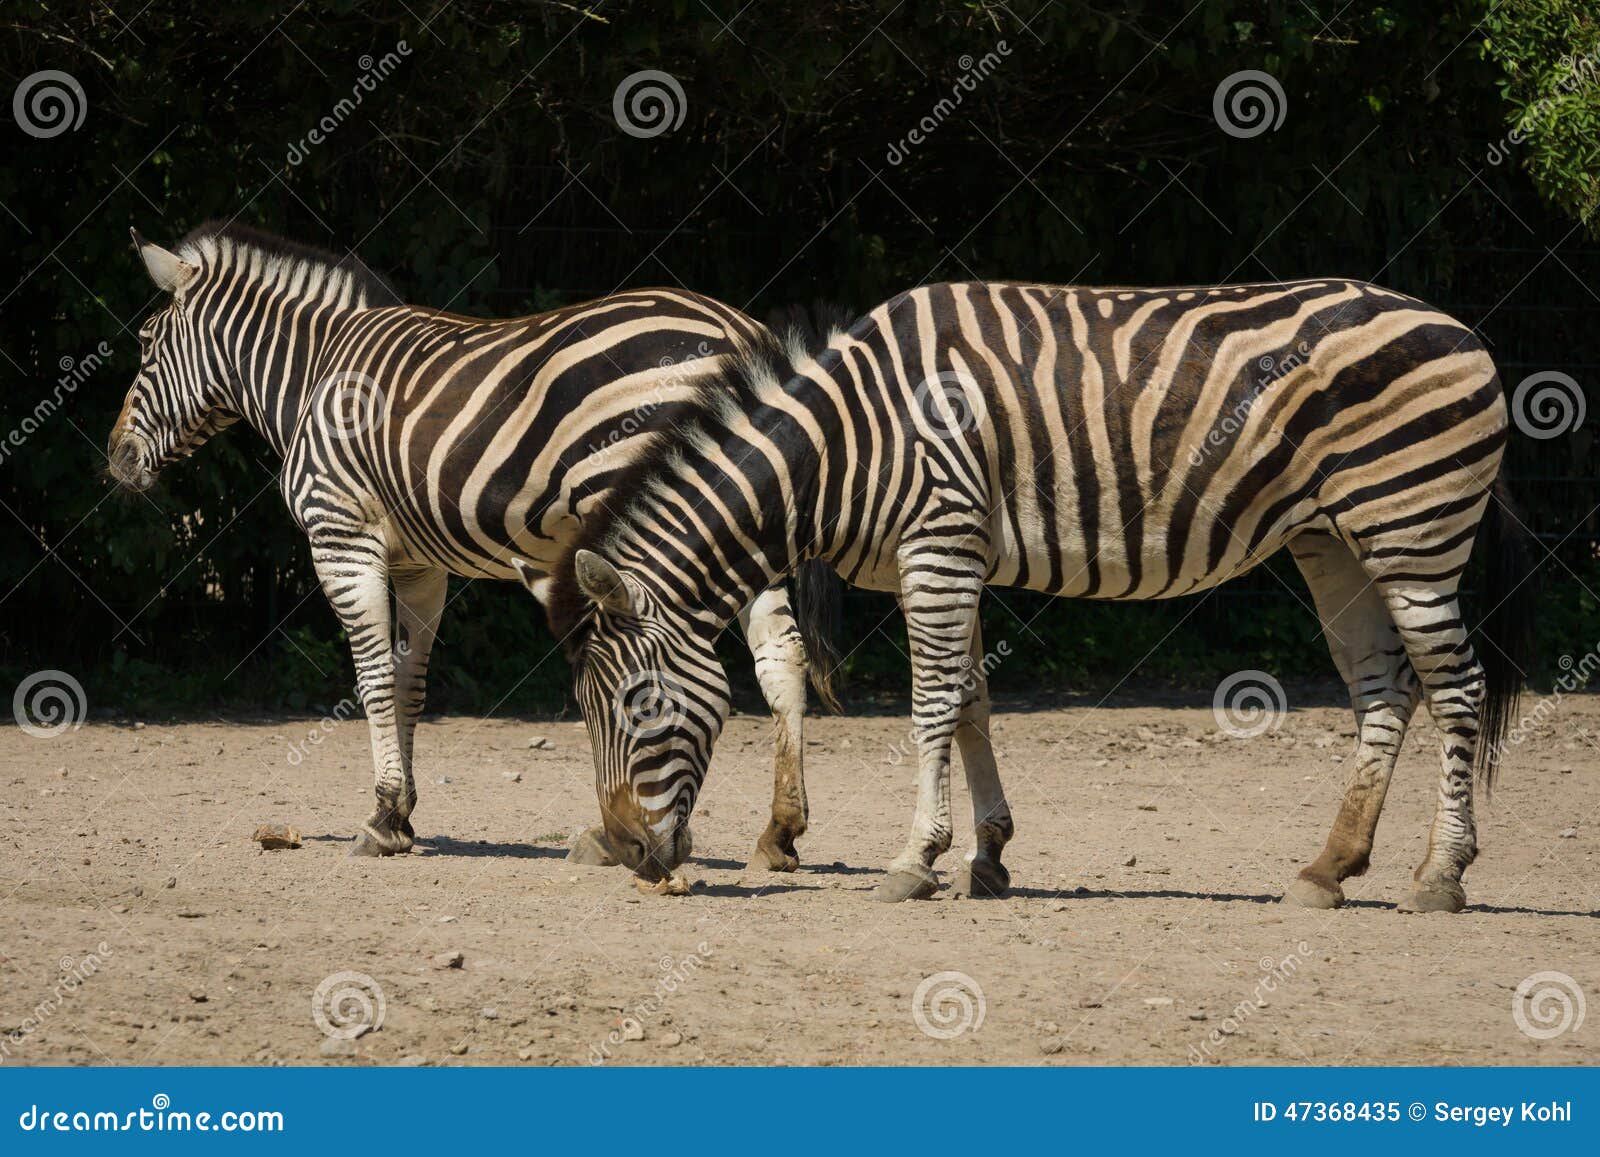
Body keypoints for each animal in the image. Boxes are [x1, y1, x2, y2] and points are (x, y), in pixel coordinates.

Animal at [107, 221, 838, 870]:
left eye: (145, 348)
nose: (115, 459)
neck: (315, 373)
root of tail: (739, 328)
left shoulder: (341, 535)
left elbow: (372, 678)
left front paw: (381, 814)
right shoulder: (419, 563)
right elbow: (409, 680)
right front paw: (401, 816)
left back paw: (617, 837)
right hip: (739, 514)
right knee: (781, 658)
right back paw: (780, 831)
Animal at [537, 277, 1535, 910]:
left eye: (634, 705)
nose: (629, 854)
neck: (846, 445)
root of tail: (1464, 329)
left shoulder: (938, 546)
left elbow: (933, 705)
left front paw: (915, 859)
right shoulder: (955, 554)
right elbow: (974, 699)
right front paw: (987, 855)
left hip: (1413, 529)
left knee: (1456, 690)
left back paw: (1440, 875)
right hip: (1334, 540)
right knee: (1382, 691)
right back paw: (1330, 867)